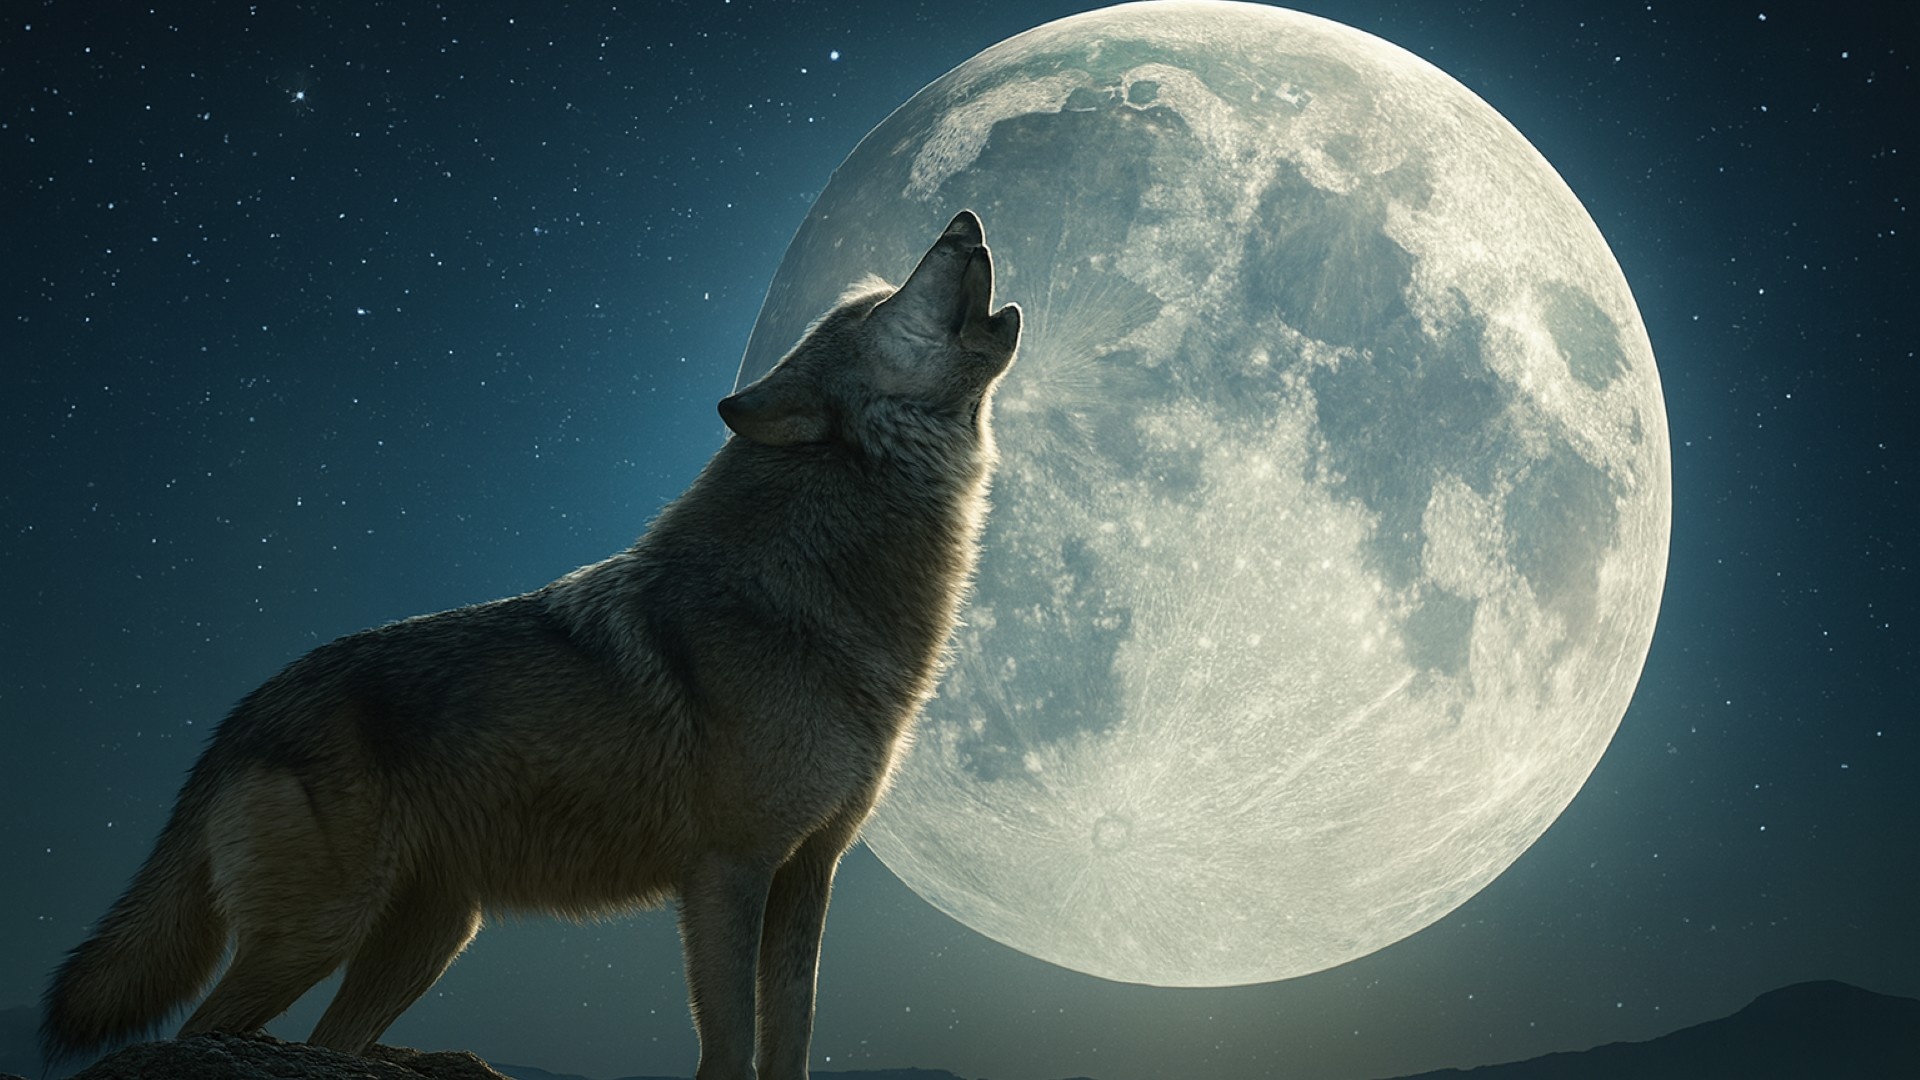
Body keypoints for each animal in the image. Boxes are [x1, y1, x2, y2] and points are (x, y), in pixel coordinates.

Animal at [41, 211, 1021, 1080]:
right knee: (198, 1030)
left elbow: (792, 1044)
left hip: (427, 939)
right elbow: (731, 1049)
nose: (963, 222)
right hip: (319, 932)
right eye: (881, 303)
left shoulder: (808, 874)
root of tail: (243, 711)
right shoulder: (727, 871)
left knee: (327, 1040)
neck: (815, 590)